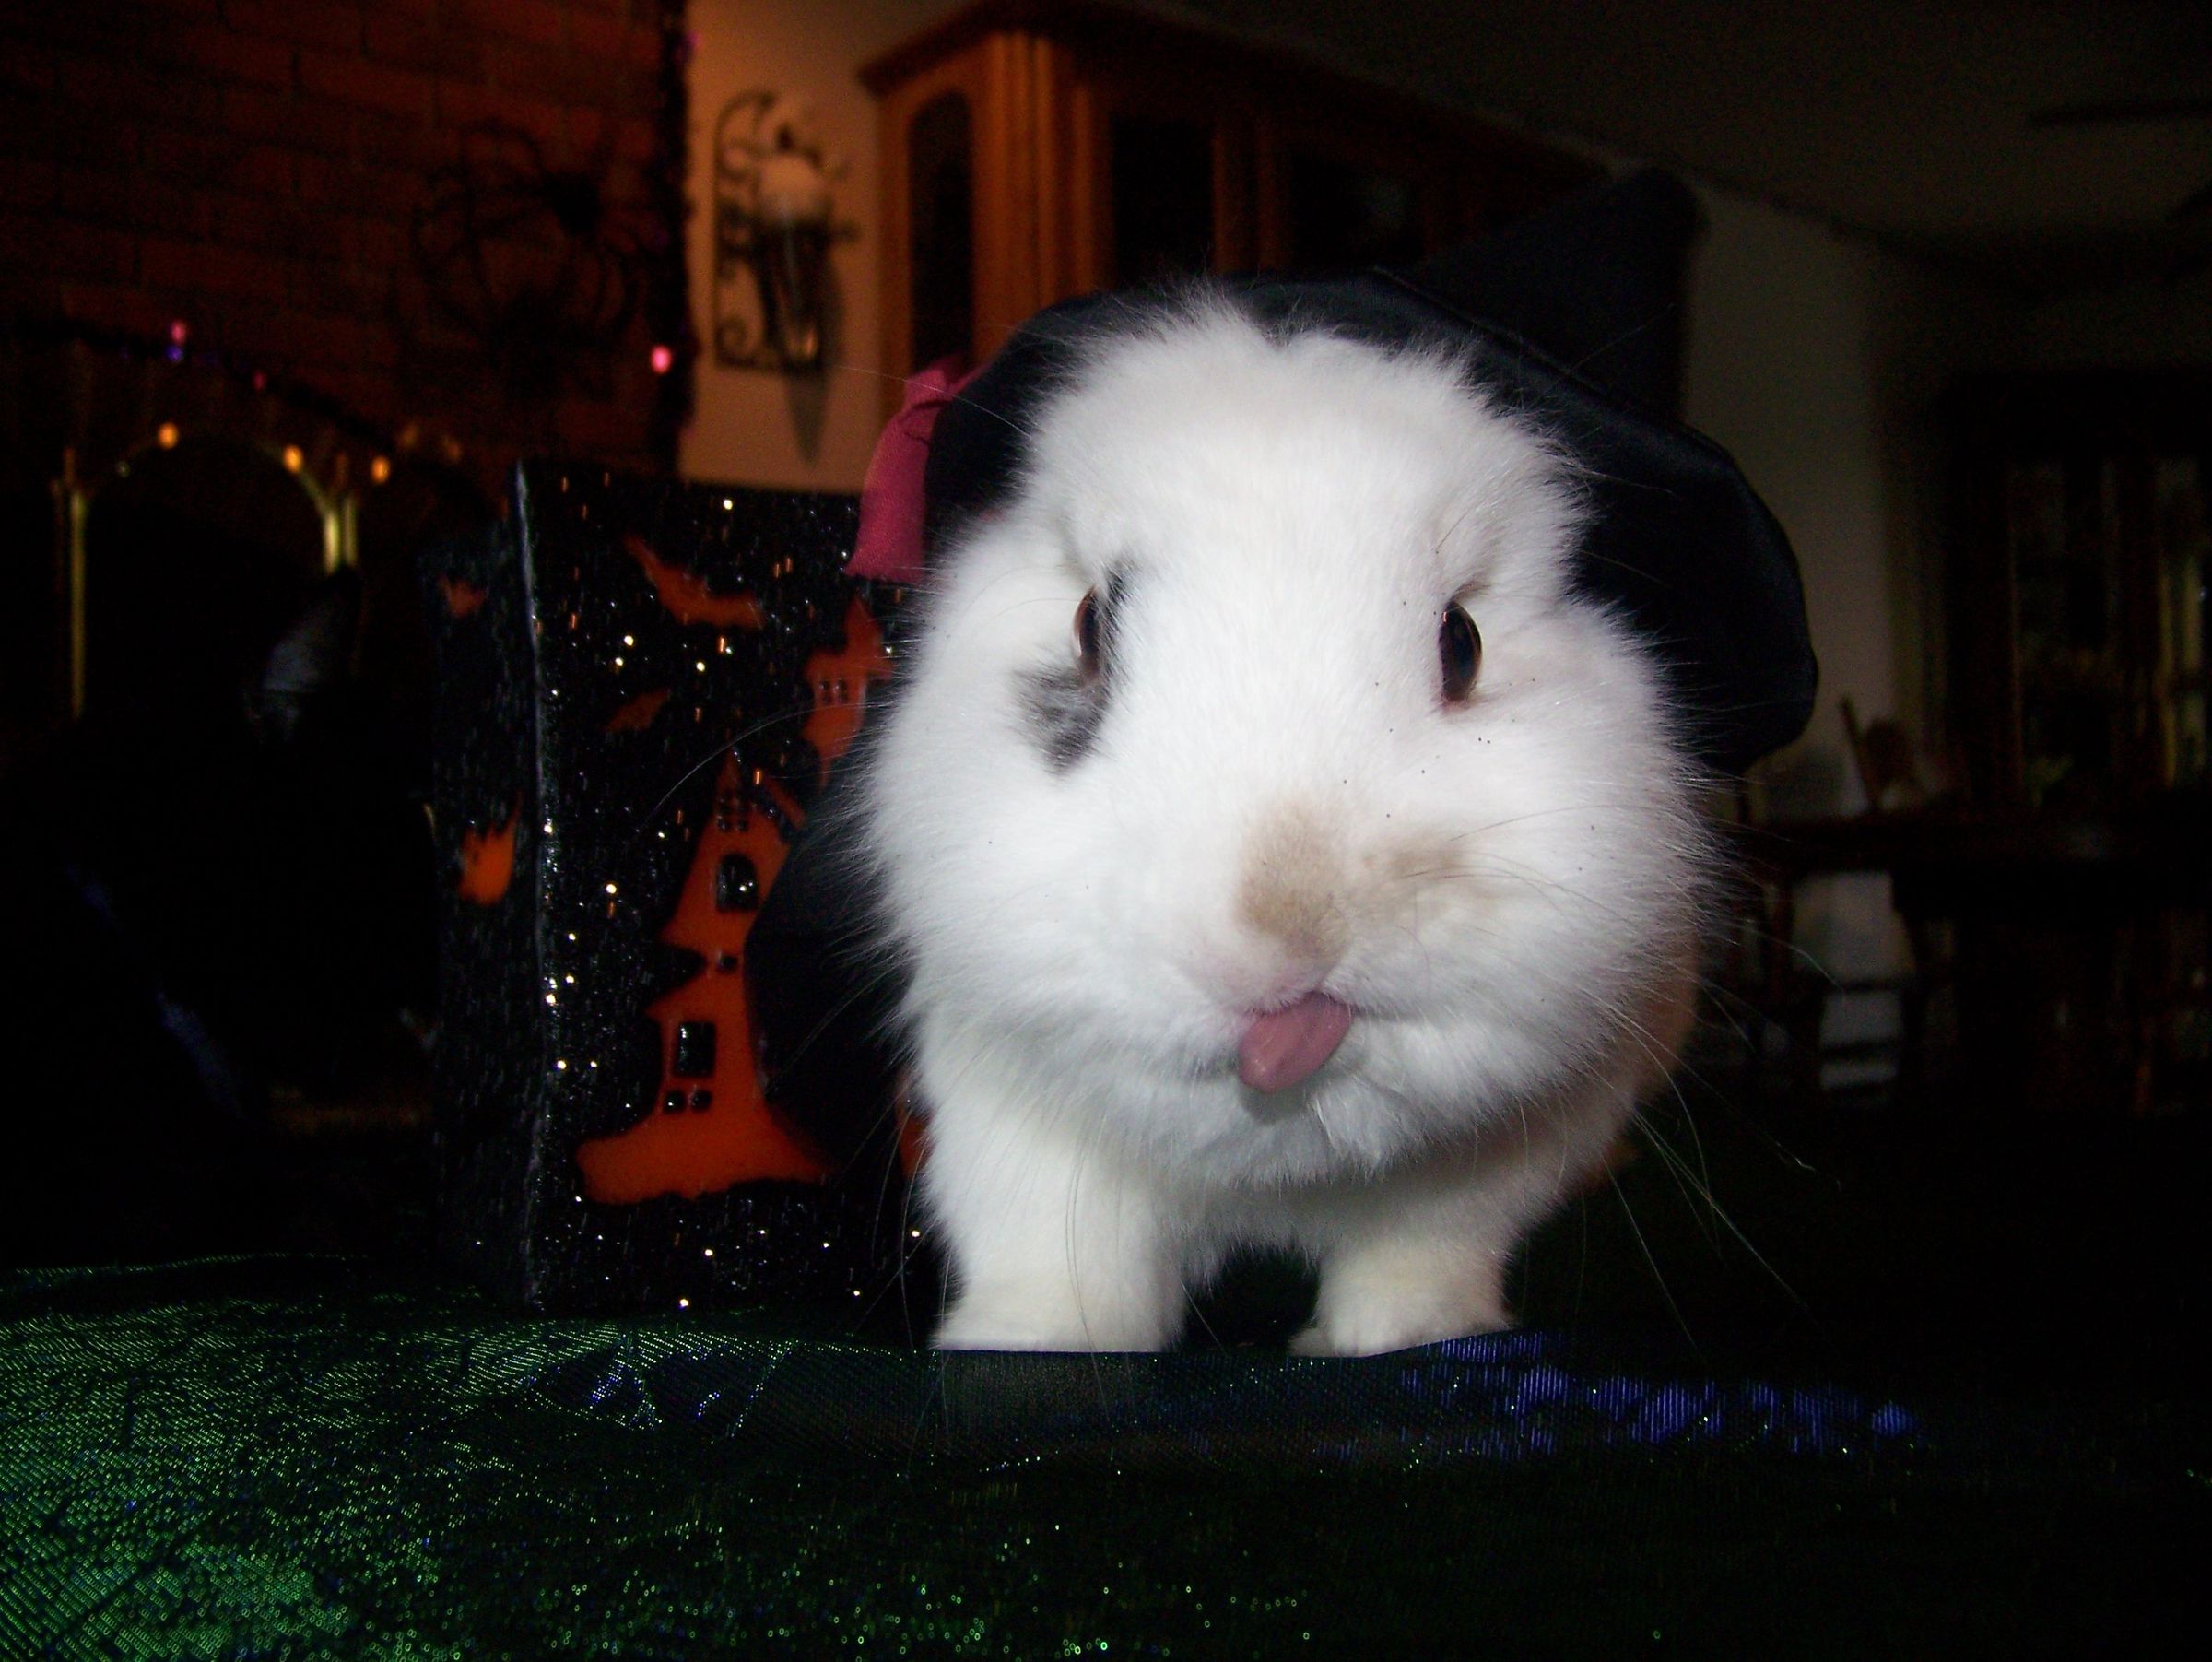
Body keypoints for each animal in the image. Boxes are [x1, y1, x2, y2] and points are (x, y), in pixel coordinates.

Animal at [849, 295, 1713, 1355]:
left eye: (1461, 641)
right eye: (1090, 626)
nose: (1280, 941)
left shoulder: (1485, 1172)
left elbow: (1420, 1256)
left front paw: (1406, 1336)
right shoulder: (1006, 1120)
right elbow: (1056, 1257)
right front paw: (1025, 1340)